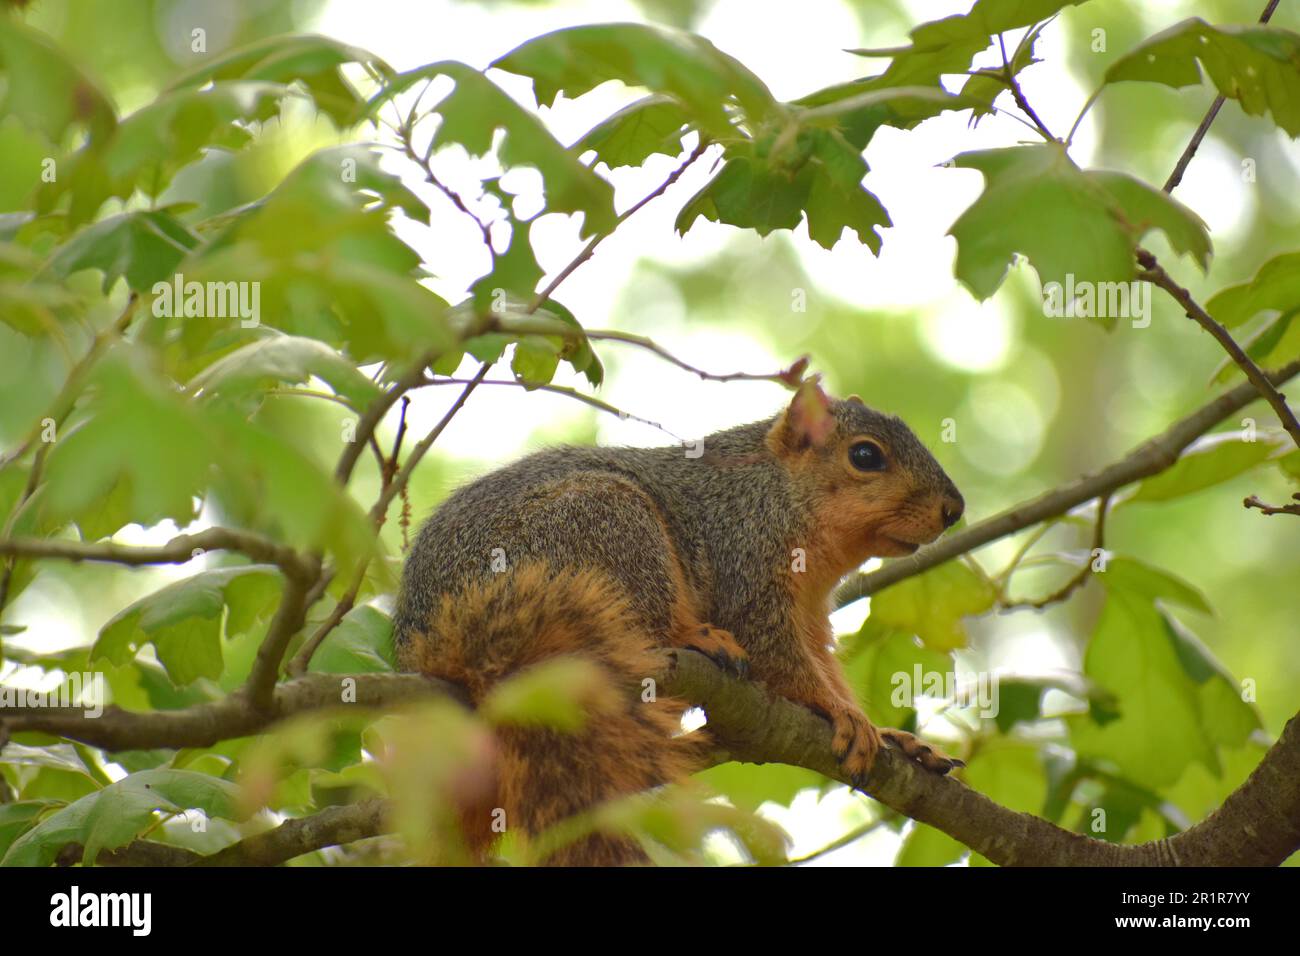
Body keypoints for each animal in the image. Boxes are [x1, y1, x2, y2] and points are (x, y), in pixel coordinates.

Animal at [394, 380, 965, 865]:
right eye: (865, 455)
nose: (954, 509)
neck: (775, 491)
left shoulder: (809, 615)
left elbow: (821, 665)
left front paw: (893, 735)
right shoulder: (746, 561)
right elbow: (778, 658)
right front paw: (841, 714)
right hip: (606, 525)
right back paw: (697, 640)